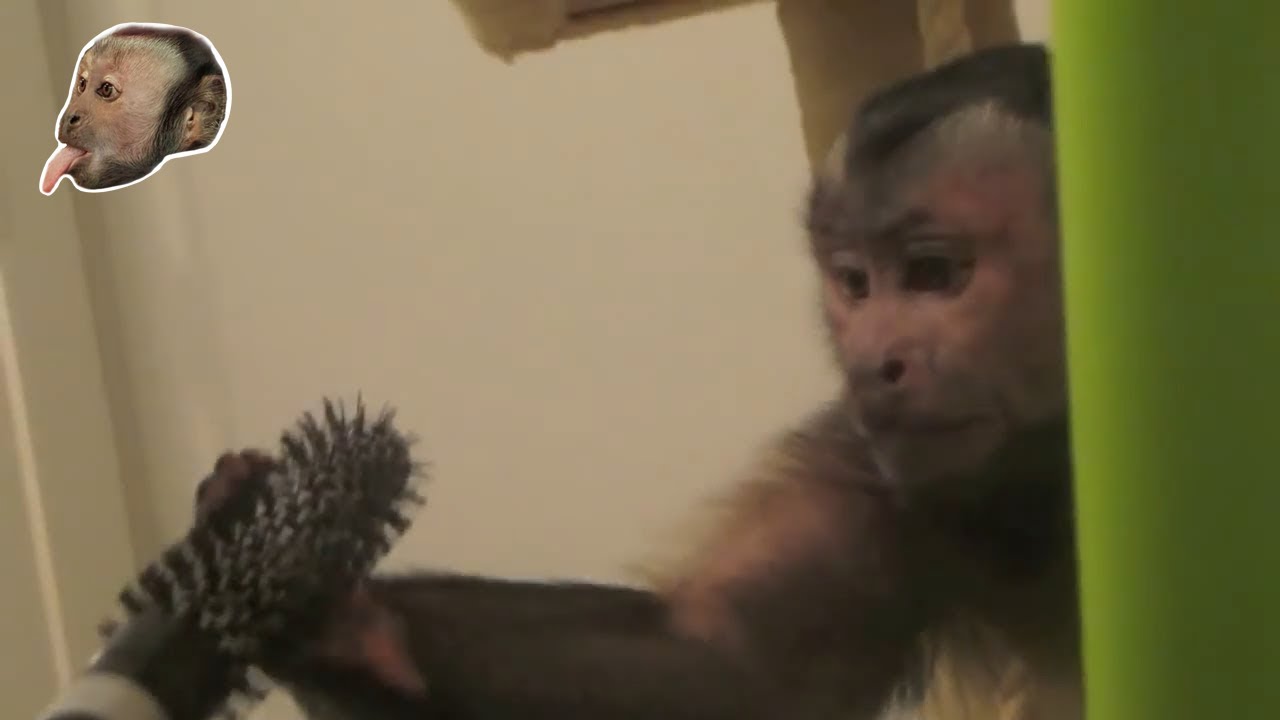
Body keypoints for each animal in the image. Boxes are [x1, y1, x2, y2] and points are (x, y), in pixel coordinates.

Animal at [193, 42, 1077, 720]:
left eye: (933, 276)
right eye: (855, 284)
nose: (875, 359)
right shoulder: (866, 458)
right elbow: (725, 673)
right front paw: (325, 612)